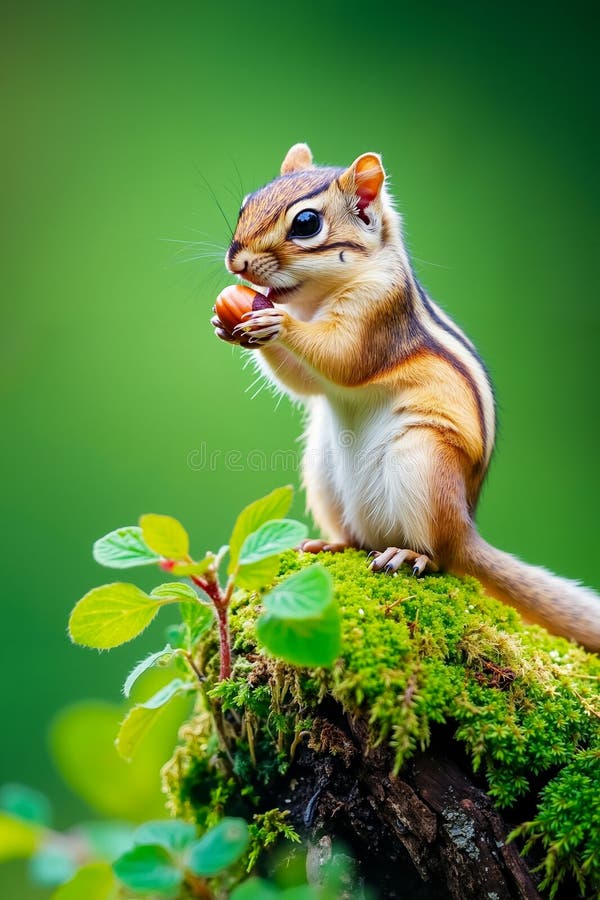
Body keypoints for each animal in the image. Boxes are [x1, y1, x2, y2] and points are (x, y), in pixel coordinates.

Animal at [211, 142, 600, 651]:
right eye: (246, 205)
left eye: (306, 223)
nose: (235, 262)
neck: (320, 296)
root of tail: (465, 528)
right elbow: (306, 382)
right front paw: (228, 322)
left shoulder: (378, 312)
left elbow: (342, 358)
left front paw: (279, 323)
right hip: (323, 469)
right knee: (359, 539)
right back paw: (331, 543)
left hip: (422, 459)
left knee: (440, 558)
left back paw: (409, 555)